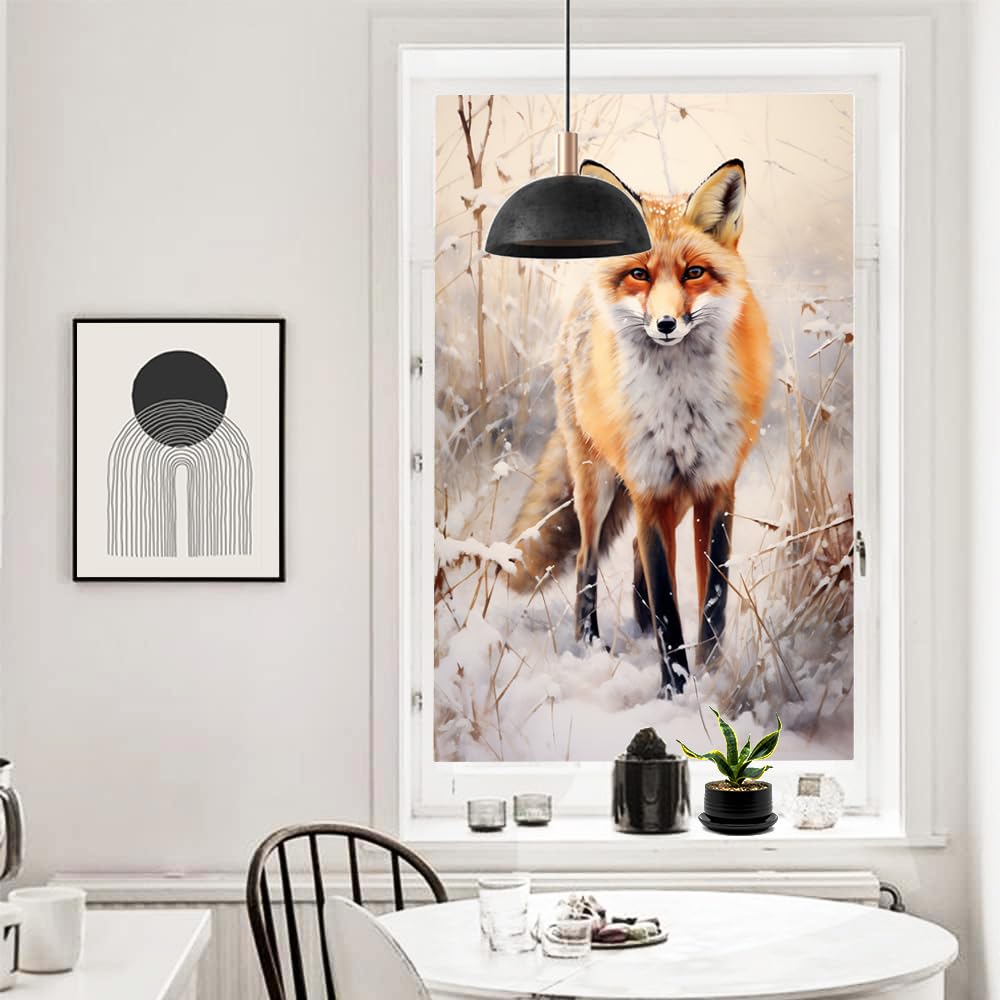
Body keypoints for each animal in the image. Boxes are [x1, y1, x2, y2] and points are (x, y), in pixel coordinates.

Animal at [509, 158, 771, 698]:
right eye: (639, 274)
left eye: (694, 272)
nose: (666, 324)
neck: (681, 408)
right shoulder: (651, 490)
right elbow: (670, 602)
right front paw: (675, 691)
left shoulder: (717, 487)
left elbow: (713, 598)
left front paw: (709, 674)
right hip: (599, 482)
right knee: (587, 561)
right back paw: (591, 642)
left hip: (667, 494)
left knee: (630, 553)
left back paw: (640, 626)